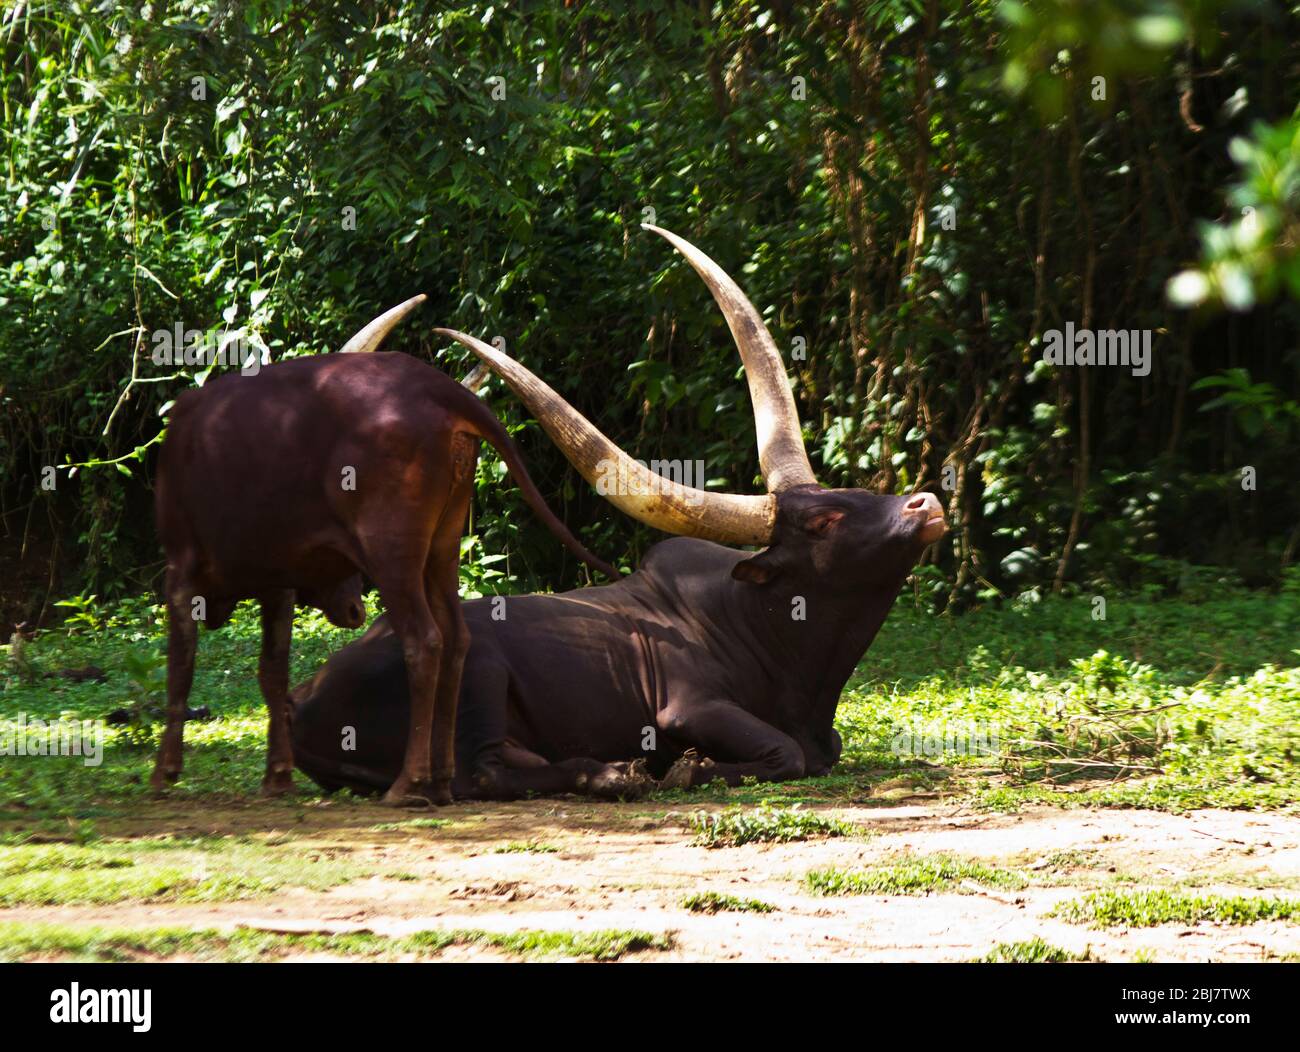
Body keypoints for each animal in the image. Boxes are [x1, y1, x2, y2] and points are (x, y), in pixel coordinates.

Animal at [152, 297, 616, 807]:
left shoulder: (180, 567)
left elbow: (180, 666)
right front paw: (277, 775)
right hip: (443, 546)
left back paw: (408, 783)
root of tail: (436, 387)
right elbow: (272, 672)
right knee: (456, 638)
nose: (355, 610)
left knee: (424, 640)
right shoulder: (278, 583)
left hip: (391, 552)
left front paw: (165, 771)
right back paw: (439, 780)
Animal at [289, 226, 946, 799]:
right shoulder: (689, 707)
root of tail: (301, 703)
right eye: (821, 522)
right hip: (478, 669)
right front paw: (689, 768)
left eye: (854, 493)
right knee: (483, 771)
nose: (928, 503)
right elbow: (787, 754)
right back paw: (614, 775)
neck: (759, 621)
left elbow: (818, 752)